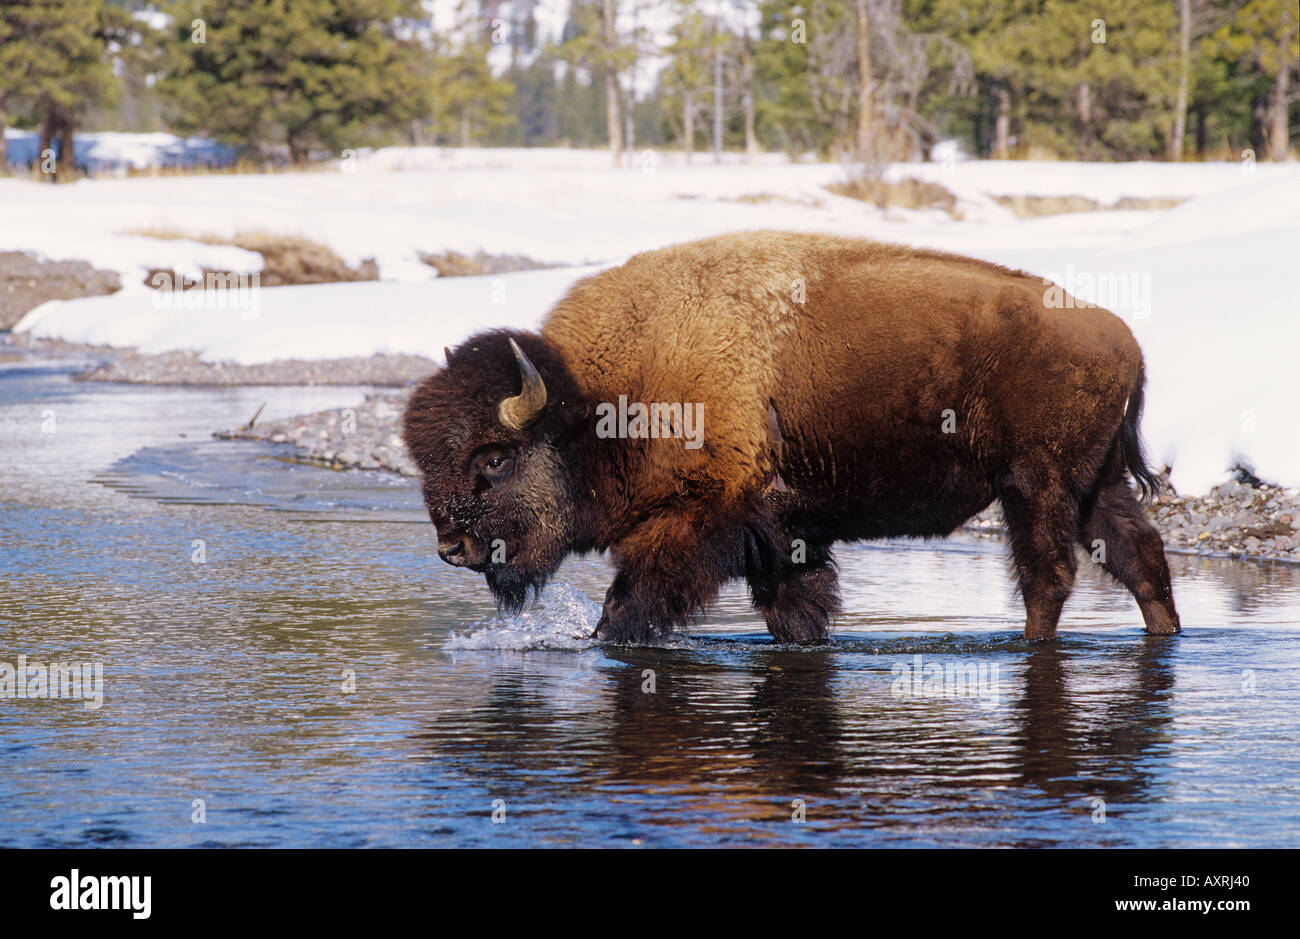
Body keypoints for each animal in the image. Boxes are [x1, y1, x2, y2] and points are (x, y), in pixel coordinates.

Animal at [403, 231, 1180, 644]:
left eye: (493, 458)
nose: (452, 547)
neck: (600, 402)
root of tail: (1124, 338)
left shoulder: (696, 519)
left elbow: (629, 606)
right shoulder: (782, 534)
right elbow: (797, 610)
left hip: (1034, 484)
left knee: (1049, 575)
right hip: (1095, 484)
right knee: (1138, 555)